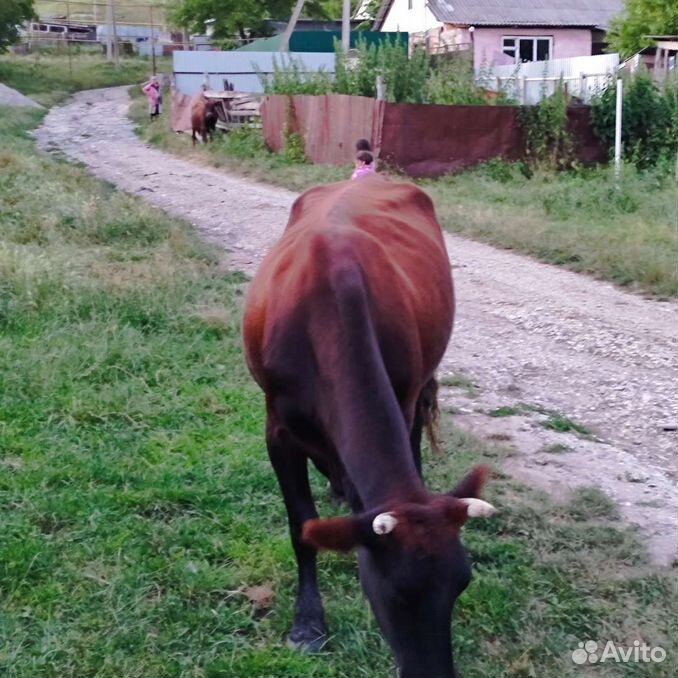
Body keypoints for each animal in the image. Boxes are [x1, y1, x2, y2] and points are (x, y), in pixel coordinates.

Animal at [242, 176, 495, 678]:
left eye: (461, 583)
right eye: (396, 594)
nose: (431, 674)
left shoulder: (404, 395)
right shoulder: (276, 428)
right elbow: (301, 527)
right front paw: (308, 624)